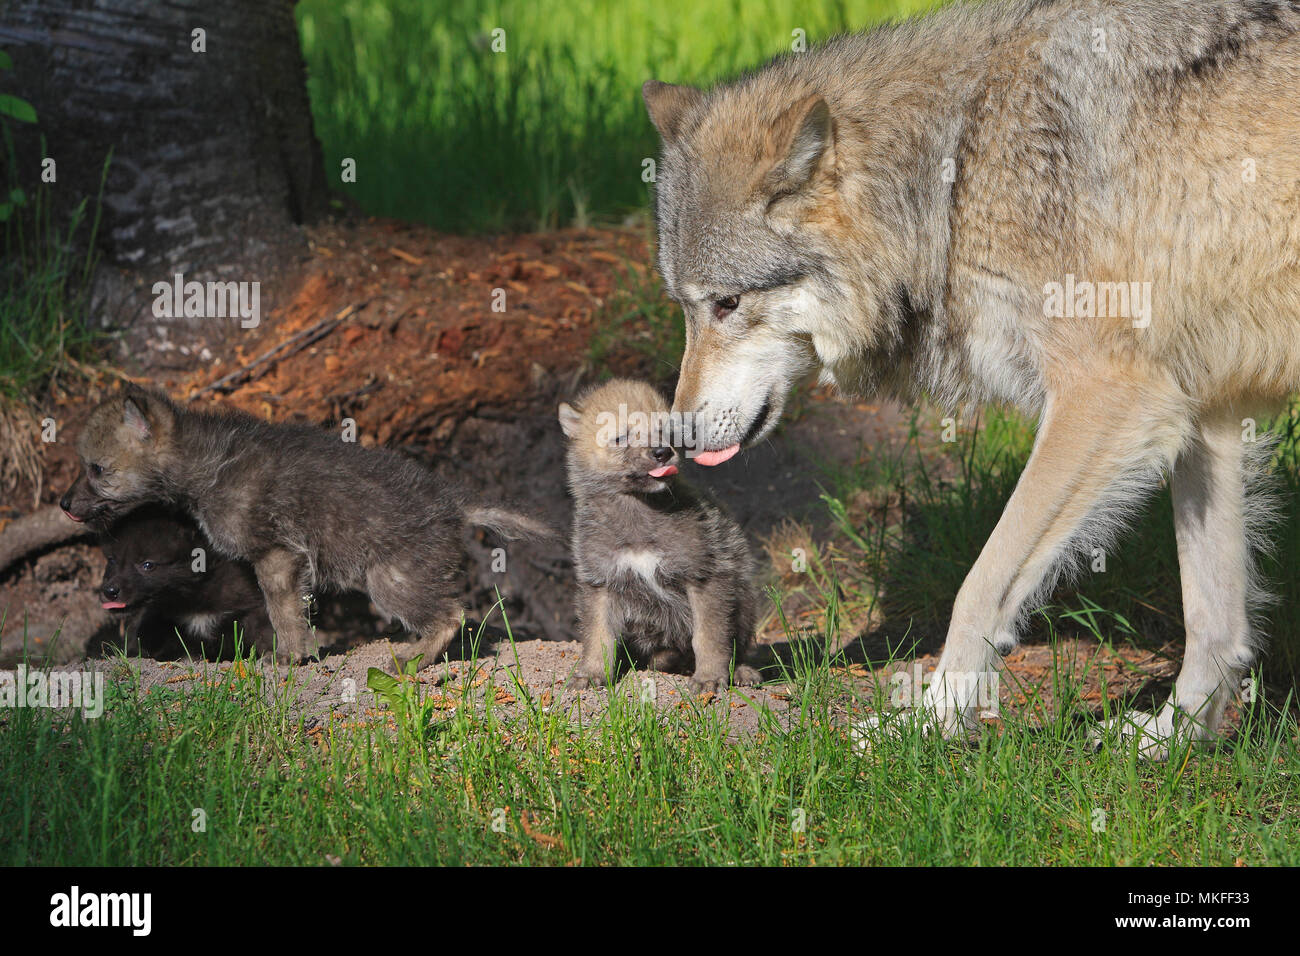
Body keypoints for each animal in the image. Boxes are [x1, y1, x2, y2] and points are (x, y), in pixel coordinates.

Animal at [559, 379, 762, 693]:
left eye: (666, 433)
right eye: (620, 438)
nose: (662, 452)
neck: (637, 514)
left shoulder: (704, 576)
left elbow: (709, 636)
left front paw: (709, 677)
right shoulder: (599, 584)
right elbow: (598, 637)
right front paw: (591, 674)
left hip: (744, 598)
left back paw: (740, 672)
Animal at [643, 0, 1300, 755]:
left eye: (727, 303)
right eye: (684, 306)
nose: (676, 433)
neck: (955, 175)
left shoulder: (1108, 398)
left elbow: (979, 587)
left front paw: (928, 723)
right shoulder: (1205, 410)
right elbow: (1213, 617)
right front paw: (1174, 737)